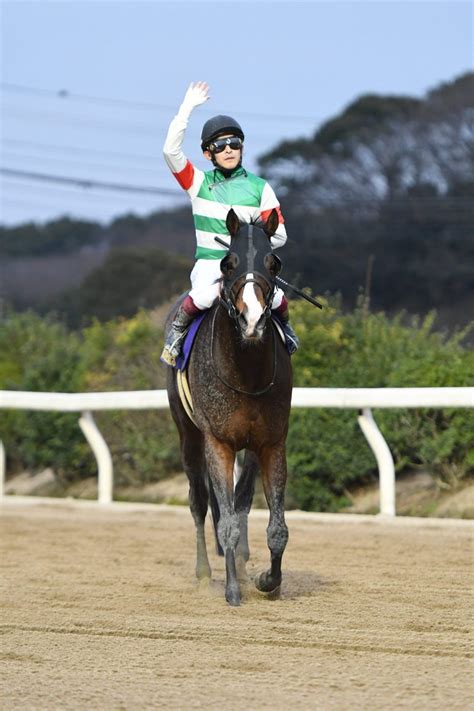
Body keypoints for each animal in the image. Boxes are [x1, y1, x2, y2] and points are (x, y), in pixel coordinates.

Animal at [166, 207, 292, 606]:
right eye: (228, 262)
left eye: (273, 262)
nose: (252, 320)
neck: (246, 371)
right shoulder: (217, 442)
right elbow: (225, 521)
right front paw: (233, 590)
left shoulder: (271, 443)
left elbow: (276, 527)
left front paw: (268, 581)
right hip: (188, 435)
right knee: (199, 502)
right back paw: (206, 573)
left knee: (241, 501)